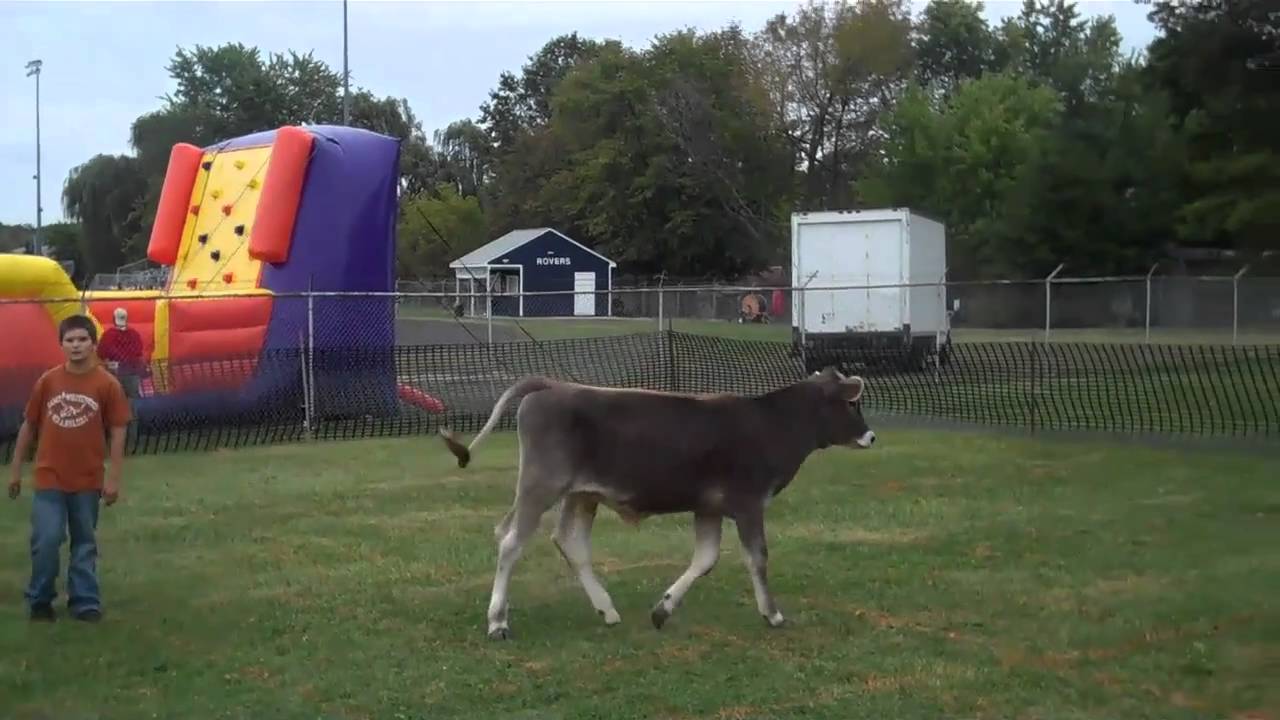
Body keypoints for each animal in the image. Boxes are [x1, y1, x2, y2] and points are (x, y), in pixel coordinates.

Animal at [437, 366, 876, 640]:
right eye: (852, 403)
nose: (870, 436)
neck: (770, 423)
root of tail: (553, 386)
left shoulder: (708, 508)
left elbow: (705, 559)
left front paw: (663, 609)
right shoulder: (749, 504)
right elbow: (758, 558)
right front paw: (773, 614)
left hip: (581, 495)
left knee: (569, 543)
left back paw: (607, 610)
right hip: (541, 486)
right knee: (511, 543)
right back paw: (497, 621)